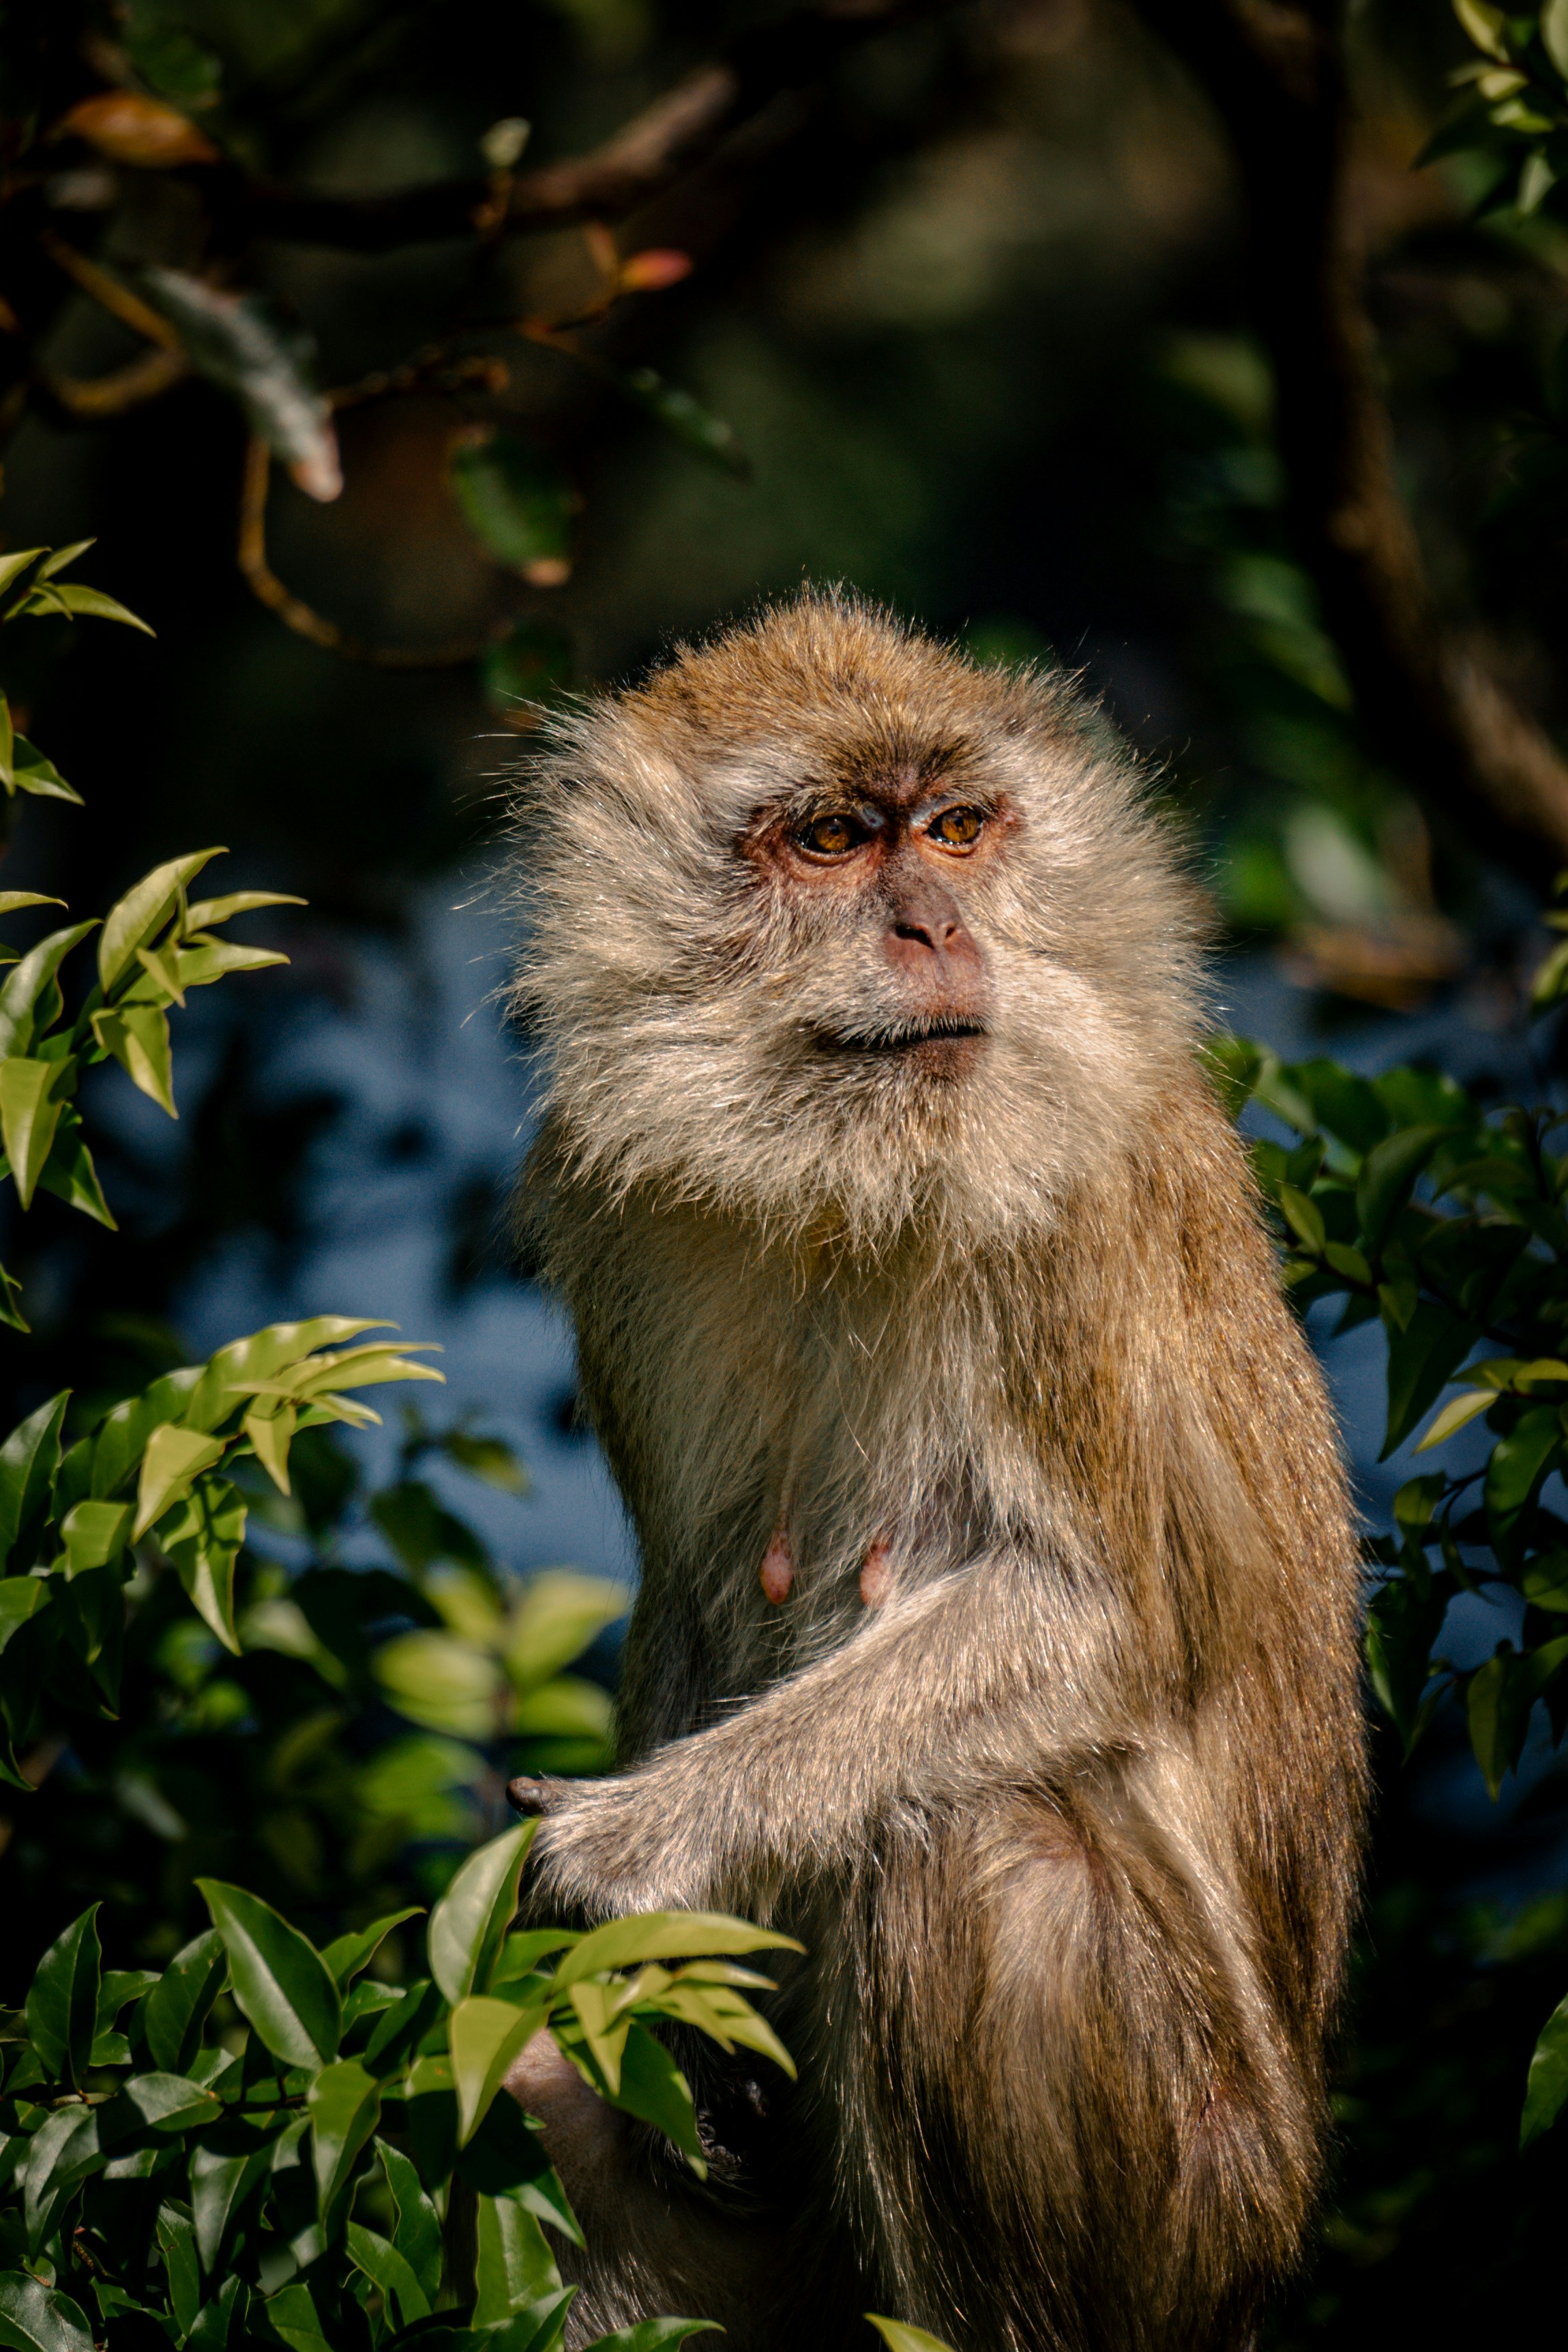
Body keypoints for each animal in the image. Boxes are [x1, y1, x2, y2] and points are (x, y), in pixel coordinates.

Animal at [500, 591, 1366, 2352]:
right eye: (832, 838)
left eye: (958, 830)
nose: (933, 929)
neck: (850, 1180)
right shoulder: (609, 1206)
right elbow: (695, 1597)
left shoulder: (1069, 1186)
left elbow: (1106, 1618)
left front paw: (629, 1848)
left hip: (1203, 2192)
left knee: (972, 1845)